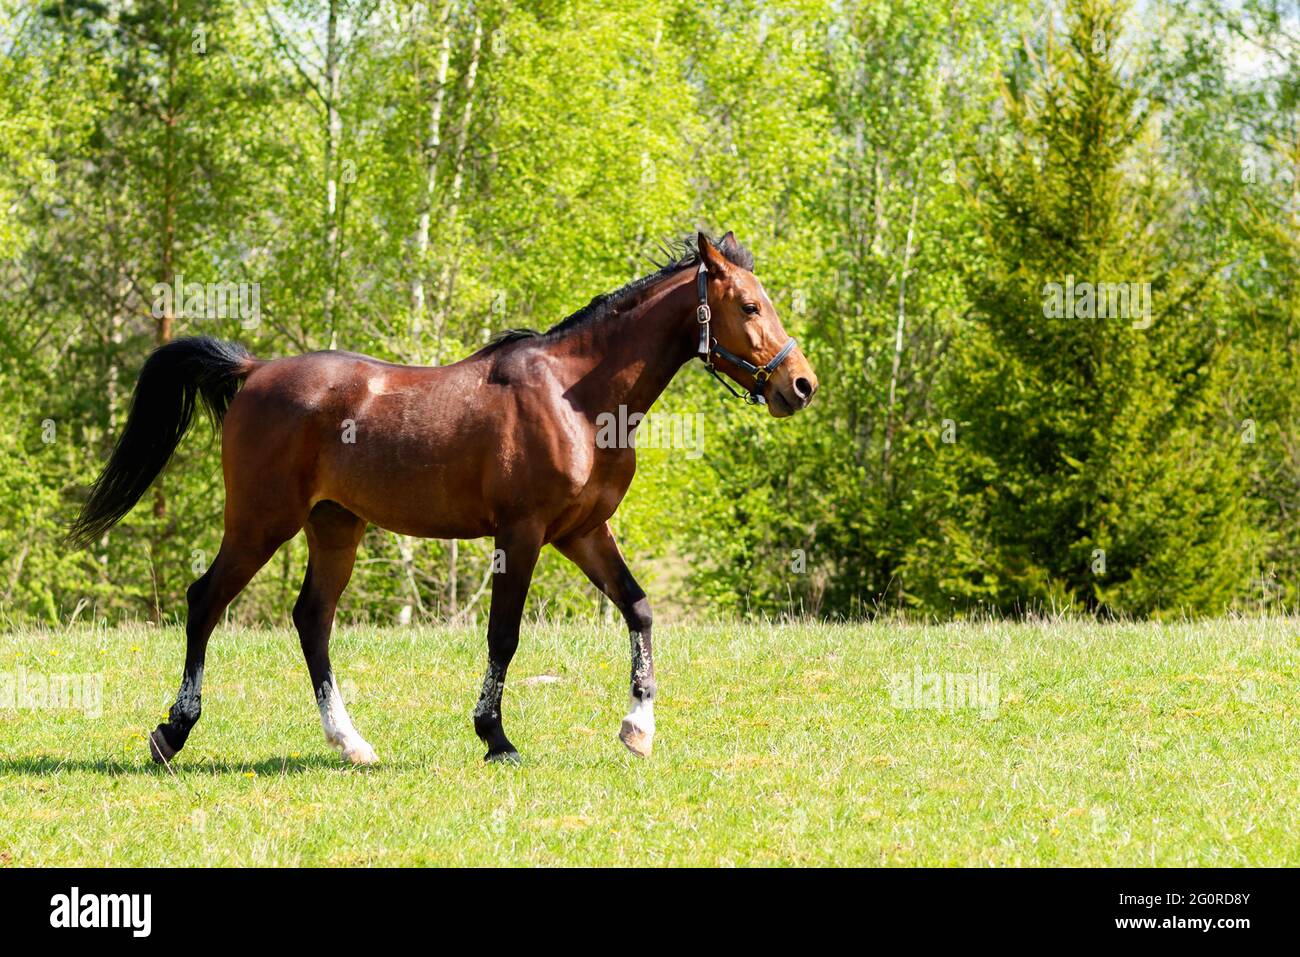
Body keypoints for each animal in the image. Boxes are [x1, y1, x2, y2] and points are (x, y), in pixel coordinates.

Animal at [70, 231, 818, 764]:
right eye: (750, 306)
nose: (801, 386)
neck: (575, 397)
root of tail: (254, 371)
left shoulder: (583, 532)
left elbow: (638, 608)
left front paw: (637, 728)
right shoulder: (522, 534)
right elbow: (504, 634)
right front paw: (497, 737)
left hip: (335, 527)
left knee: (311, 619)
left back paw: (350, 743)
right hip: (261, 522)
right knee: (205, 602)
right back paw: (172, 732)